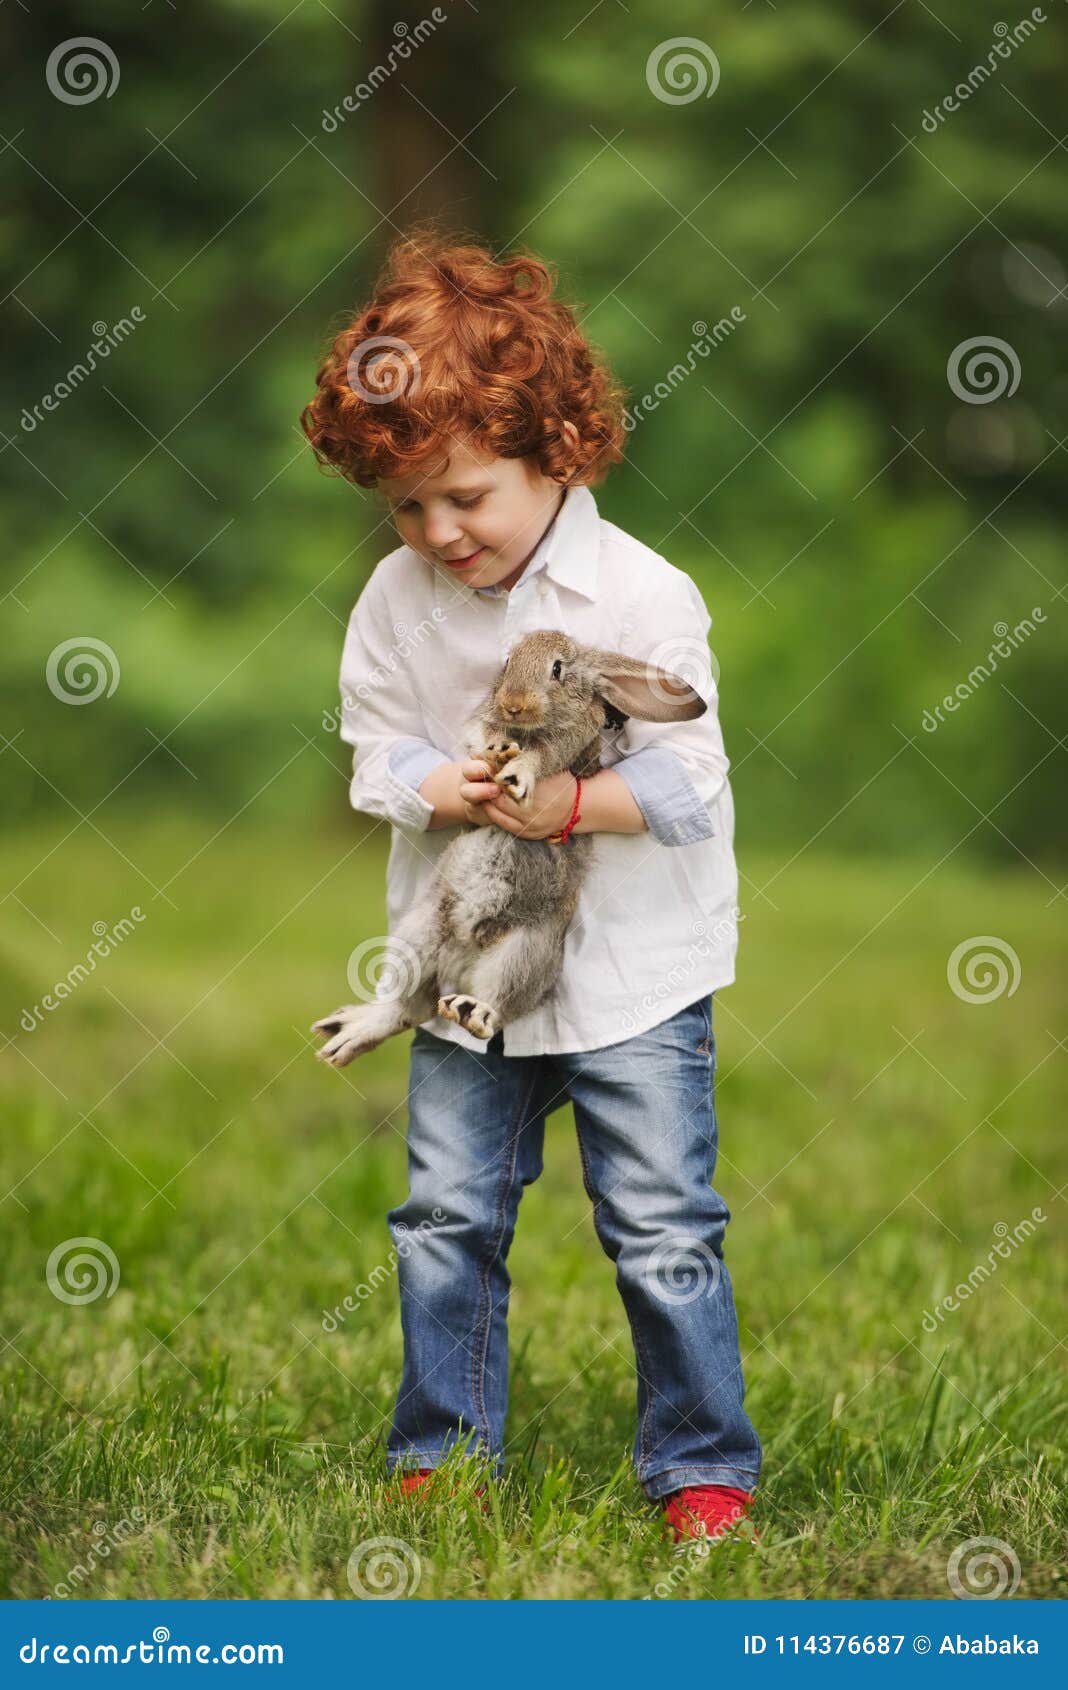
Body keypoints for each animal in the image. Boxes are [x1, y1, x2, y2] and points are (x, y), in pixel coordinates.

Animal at [311, 627, 707, 1067]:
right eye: (507, 662)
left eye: (557, 669)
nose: (513, 705)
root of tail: (460, 963)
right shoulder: (485, 722)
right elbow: (483, 738)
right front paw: (495, 752)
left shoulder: (568, 744)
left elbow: (540, 756)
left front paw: (516, 773)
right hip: (420, 931)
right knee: (409, 1006)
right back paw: (348, 1034)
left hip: (524, 953)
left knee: (489, 1006)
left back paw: (469, 1010)